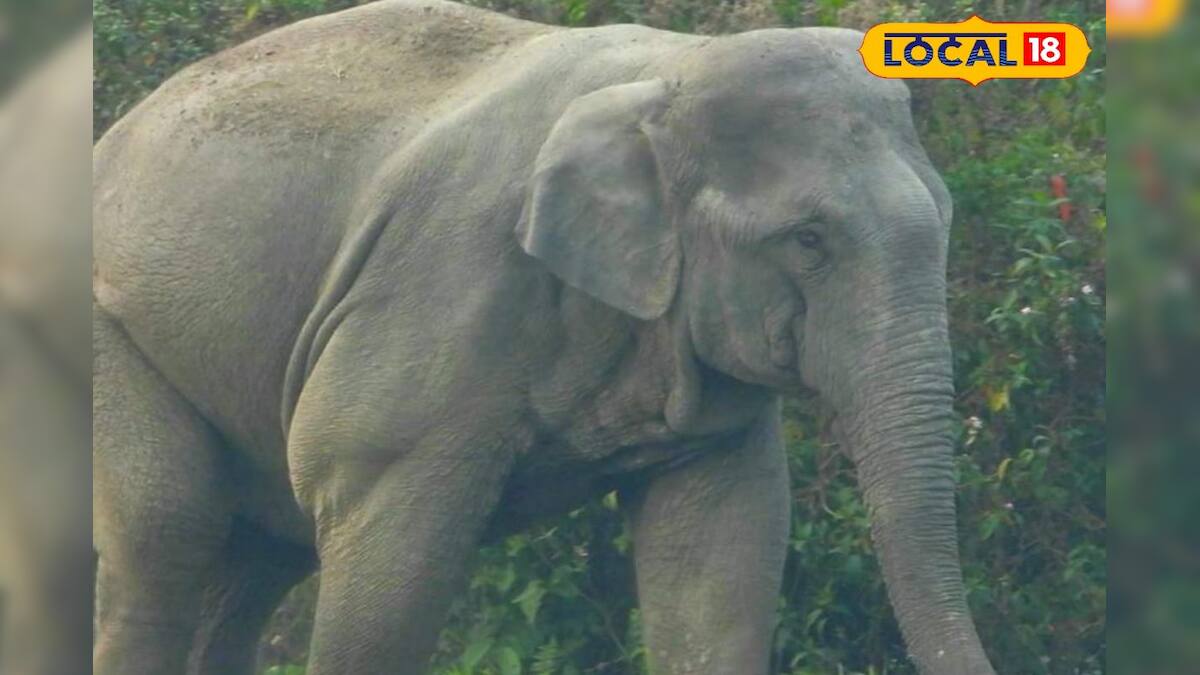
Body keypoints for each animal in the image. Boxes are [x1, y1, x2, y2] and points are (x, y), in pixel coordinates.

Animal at [92, 1, 996, 673]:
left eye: (948, 216)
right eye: (809, 240)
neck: (676, 70)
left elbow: (722, 553)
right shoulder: (443, 286)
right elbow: (384, 549)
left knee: (245, 570)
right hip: (114, 334)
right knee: (166, 539)